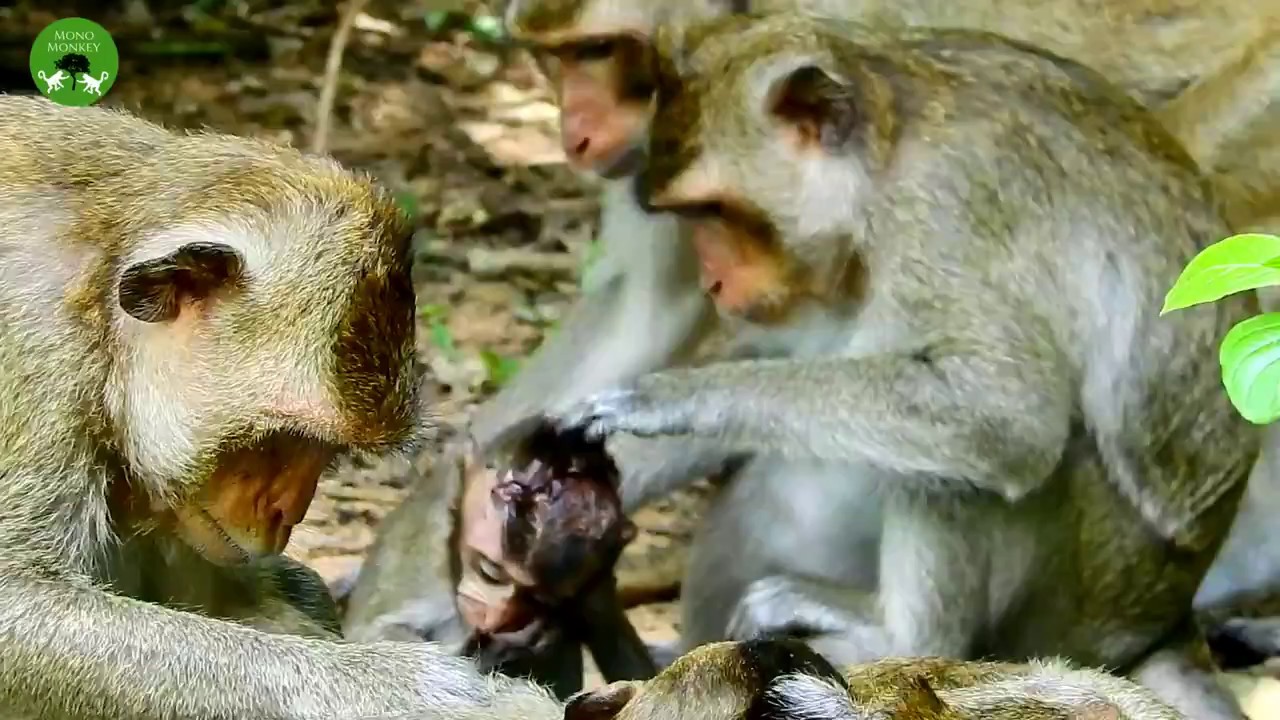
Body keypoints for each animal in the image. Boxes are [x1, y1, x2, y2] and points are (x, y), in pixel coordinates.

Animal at [0, 94, 563, 720]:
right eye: (282, 442)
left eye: (328, 453)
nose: (284, 514)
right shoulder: (33, 347)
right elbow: (16, 608)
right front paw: (404, 692)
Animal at [537, 12, 1262, 718]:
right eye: (691, 216)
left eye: (715, 211)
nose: (713, 281)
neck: (884, 159)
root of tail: (1166, 621)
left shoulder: (944, 215)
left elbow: (1008, 414)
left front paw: (673, 398)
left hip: (1085, 591)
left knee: (977, 456)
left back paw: (898, 634)